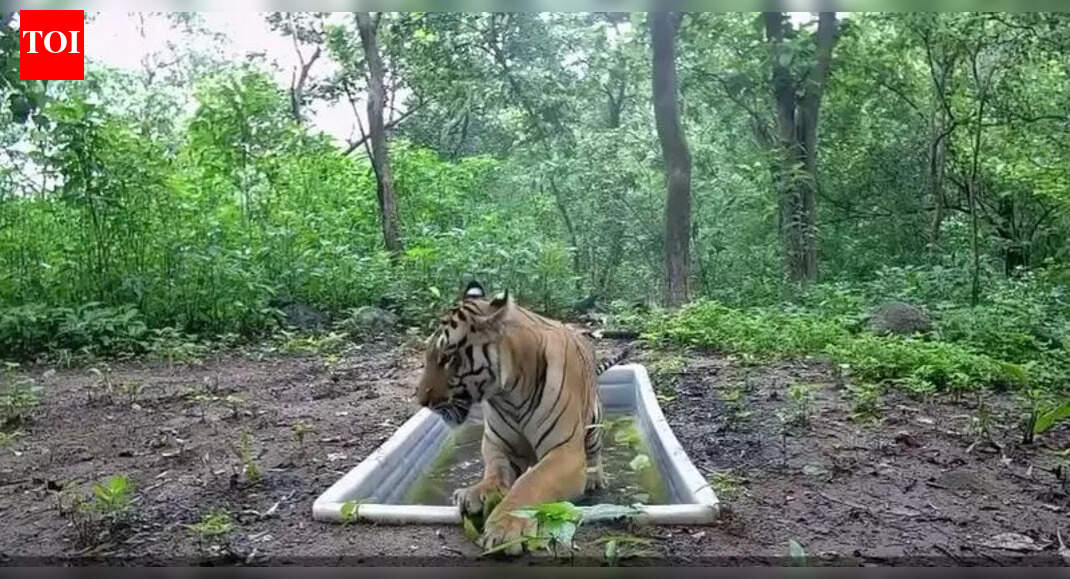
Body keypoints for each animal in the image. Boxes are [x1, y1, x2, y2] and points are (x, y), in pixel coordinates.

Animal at [414, 281, 629, 554]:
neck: (509, 394)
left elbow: (530, 482)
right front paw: (476, 492)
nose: (421, 400)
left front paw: (505, 528)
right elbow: (495, 471)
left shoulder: (565, 451)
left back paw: (595, 479)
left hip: (593, 424)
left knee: (594, 455)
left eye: (448, 357)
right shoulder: (497, 443)